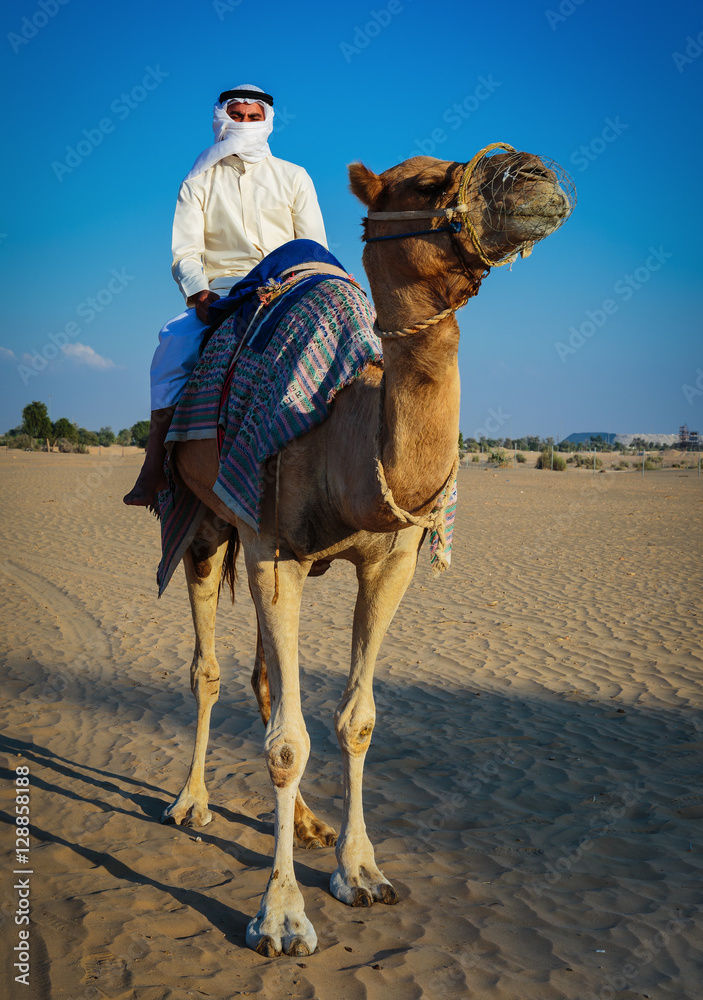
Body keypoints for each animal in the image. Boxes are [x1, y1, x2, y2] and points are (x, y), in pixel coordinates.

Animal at [159, 144, 575, 957]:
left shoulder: (391, 563)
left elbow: (355, 721)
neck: (345, 429)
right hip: (207, 524)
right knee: (207, 668)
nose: (538, 174)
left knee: (263, 677)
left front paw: (360, 871)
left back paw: (309, 826)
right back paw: (189, 803)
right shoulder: (270, 549)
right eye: (426, 182)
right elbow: (288, 744)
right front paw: (282, 917)